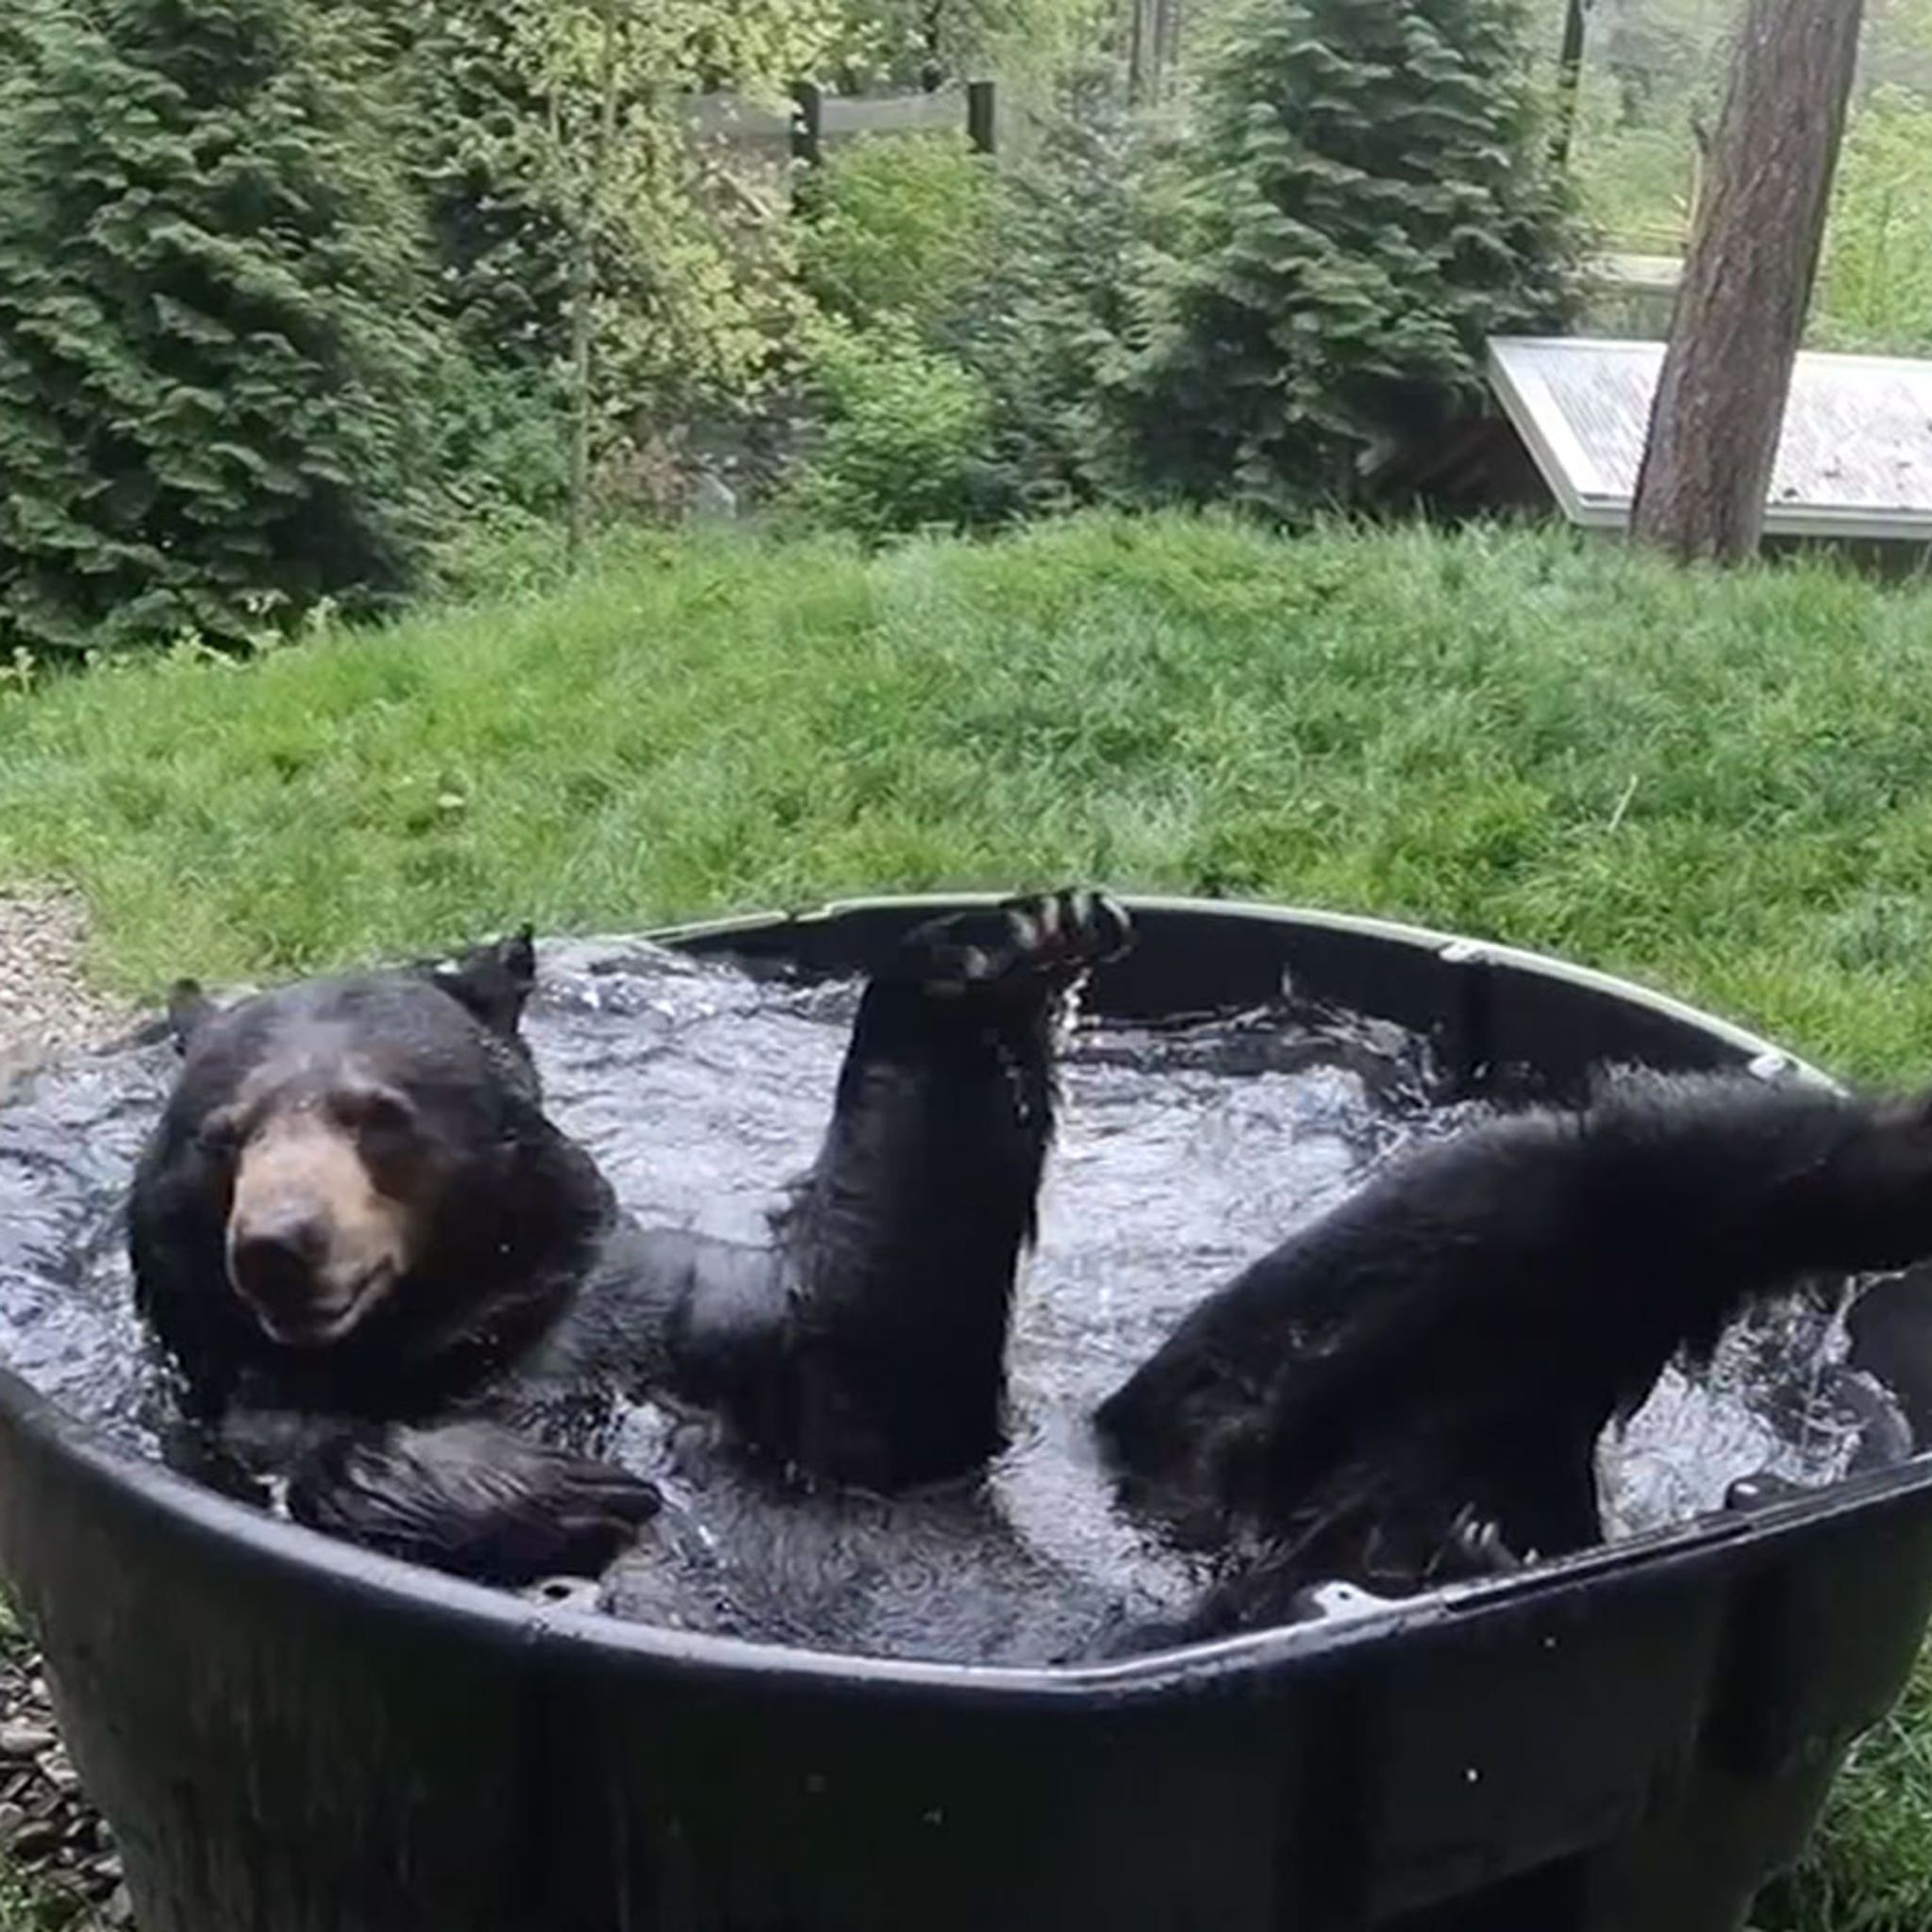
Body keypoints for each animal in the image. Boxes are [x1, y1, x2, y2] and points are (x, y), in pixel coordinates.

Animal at [129, 891, 1132, 1590]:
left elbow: (869, 1367)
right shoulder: (239, 1422)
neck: (443, 1344)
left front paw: (1008, 942)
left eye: (379, 1114)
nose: (280, 1244)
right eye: (223, 1135)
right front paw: (560, 1490)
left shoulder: (647, 1310)